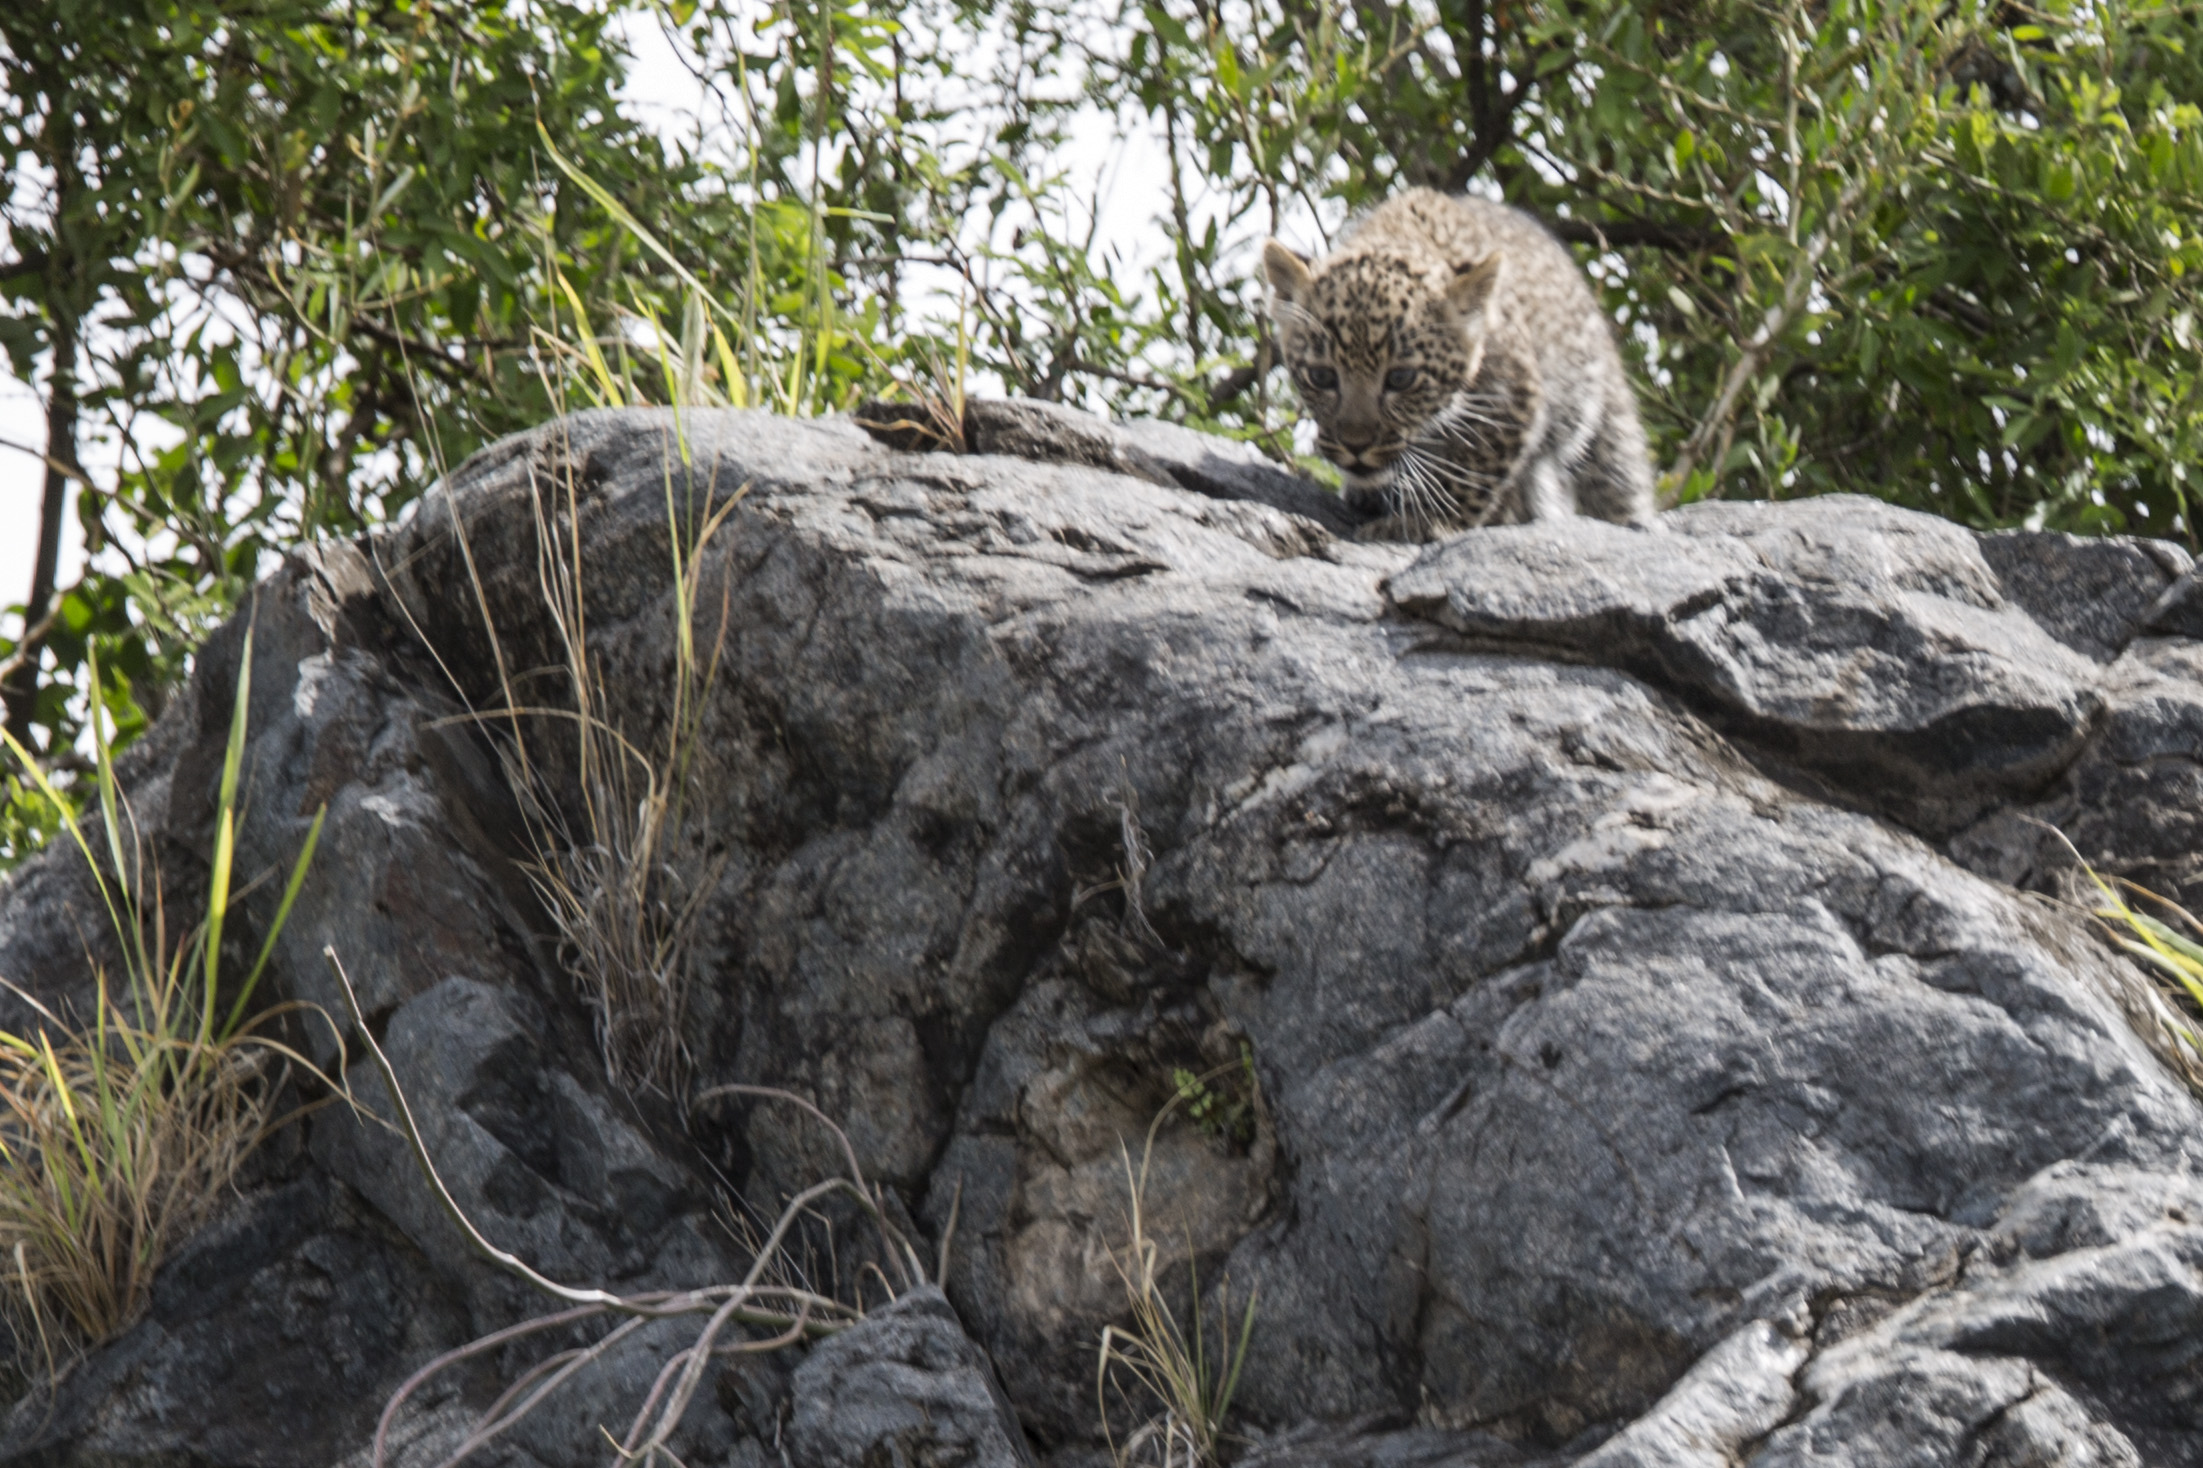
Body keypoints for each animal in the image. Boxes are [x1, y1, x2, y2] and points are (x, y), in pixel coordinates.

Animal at [1262, 189, 1656, 540]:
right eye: (1322, 376)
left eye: (1401, 378)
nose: (1355, 445)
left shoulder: (1512, 398)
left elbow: (1466, 471)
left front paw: (1423, 523)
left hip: (1602, 417)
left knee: (1617, 477)